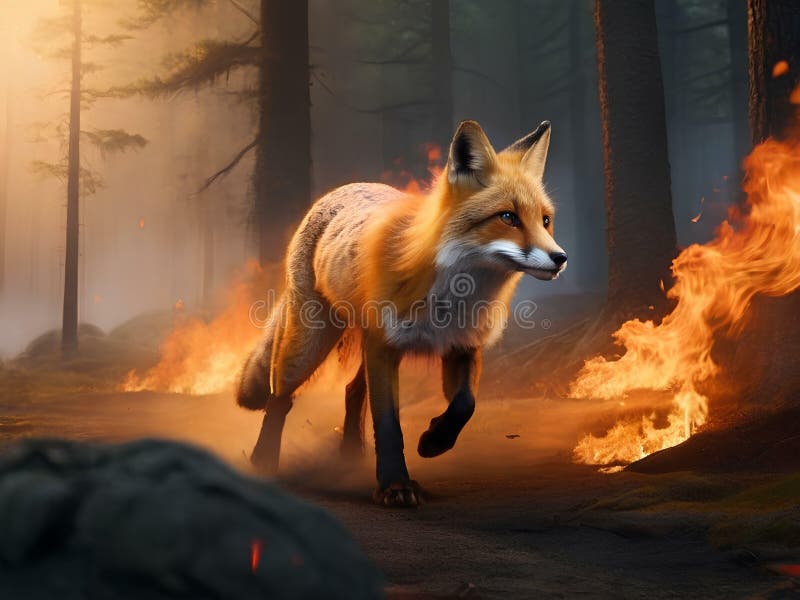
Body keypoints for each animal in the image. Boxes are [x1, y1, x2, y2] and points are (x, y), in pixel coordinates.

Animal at [237, 119, 566, 506]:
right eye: (508, 217)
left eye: (545, 221)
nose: (561, 258)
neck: (453, 299)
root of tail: (344, 189)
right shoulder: (385, 348)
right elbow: (388, 424)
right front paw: (395, 485)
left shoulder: (463, 346)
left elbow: (464, 404)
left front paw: (435, 440)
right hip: (310, 343)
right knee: (280, 398)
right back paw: (264, 462)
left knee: (351, 390)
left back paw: (351, 452)